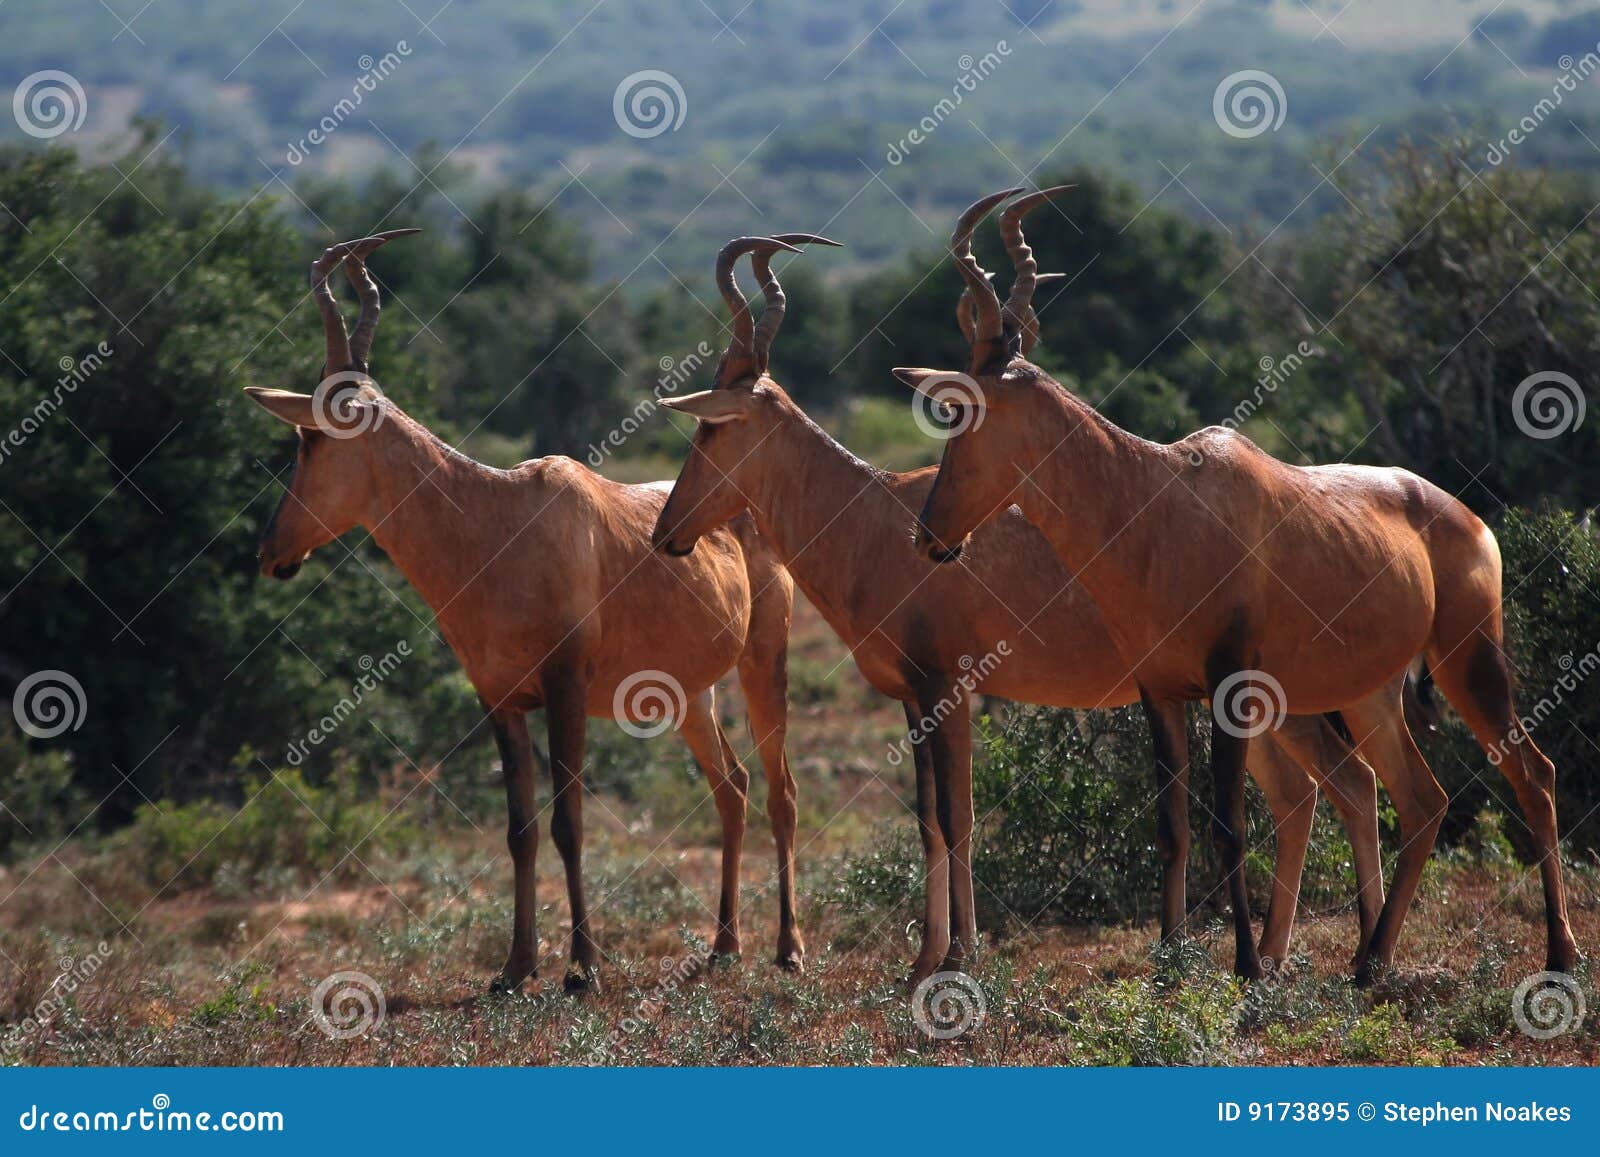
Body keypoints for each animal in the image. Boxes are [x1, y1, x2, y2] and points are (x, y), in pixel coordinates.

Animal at [245, 230, 805, 992]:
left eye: (314, 437)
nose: (274, 552)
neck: (499, 517)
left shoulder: (566, 688)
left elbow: (569, 820)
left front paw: (582, 968)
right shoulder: (499, 699)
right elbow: (520, 828)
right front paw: (513, 967)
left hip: (762, 661)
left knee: (781, 789)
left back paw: (788, 948)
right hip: (690, 694)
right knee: (734, 788)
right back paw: (723, 947)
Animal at [652, 229, 1386, 987]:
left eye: (710, 429)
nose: (665, 532)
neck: (882, 518)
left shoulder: (947, 688)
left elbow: (958, 817)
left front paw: (957, 954)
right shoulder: (914, 699)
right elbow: (931, 820)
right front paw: (924, 957)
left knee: (1346, 783)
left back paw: (1340, 956)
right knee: (1312, 793)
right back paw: (1284, 954)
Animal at [905, 188, 1581, 981]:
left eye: (963, 409)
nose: (930, 537)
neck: (1157, 498)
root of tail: (1470, 518)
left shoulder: (1230, 683)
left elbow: (1228, 823)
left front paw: (1249, 966)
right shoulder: (1160, 691)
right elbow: (1171, 825)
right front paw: (1170, 964)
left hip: (1469, 658)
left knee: (1532, 773)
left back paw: (1559, 952)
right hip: (1370, 693)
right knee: (1422, 799)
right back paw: (1369, 961)